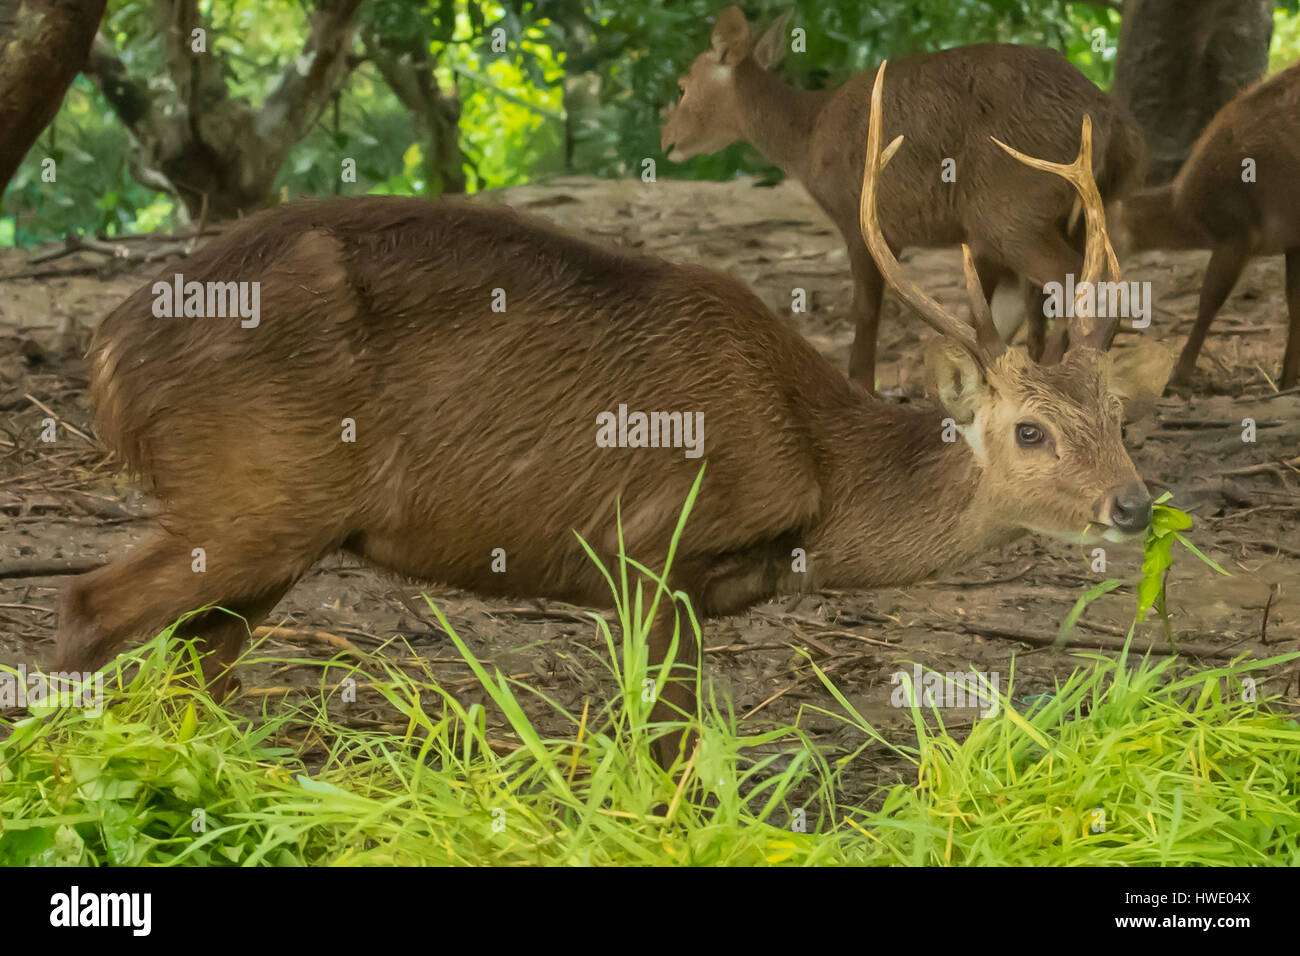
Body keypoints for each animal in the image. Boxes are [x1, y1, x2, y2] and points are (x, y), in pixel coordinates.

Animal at [56, 63, 1171, 768]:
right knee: (89, 607)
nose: (1132, 507)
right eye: (1028, 430)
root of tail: (107, 359)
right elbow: (669, 745)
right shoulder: (653, 547)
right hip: (252, 490)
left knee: (193, 669)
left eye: (1118, 416)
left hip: (275, 528)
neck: (817, 477)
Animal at [660, 6, 1145, 386]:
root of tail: (1114, 126)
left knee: (1087, 288)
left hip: (1011, 210)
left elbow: (866, 311)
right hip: (1080, 211)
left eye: (683, 85)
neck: (807, 140)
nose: (667, 142)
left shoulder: (859, 218)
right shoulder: (973, 239)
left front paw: (864, 386)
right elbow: (990, 320)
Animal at [1113, 60, 1300, 389]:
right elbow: (1294, 302)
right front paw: (1287, 380)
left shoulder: (1237, 232)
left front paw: (1179, 378)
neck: (1186, 211)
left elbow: (1208, 301)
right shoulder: (1291, 238)